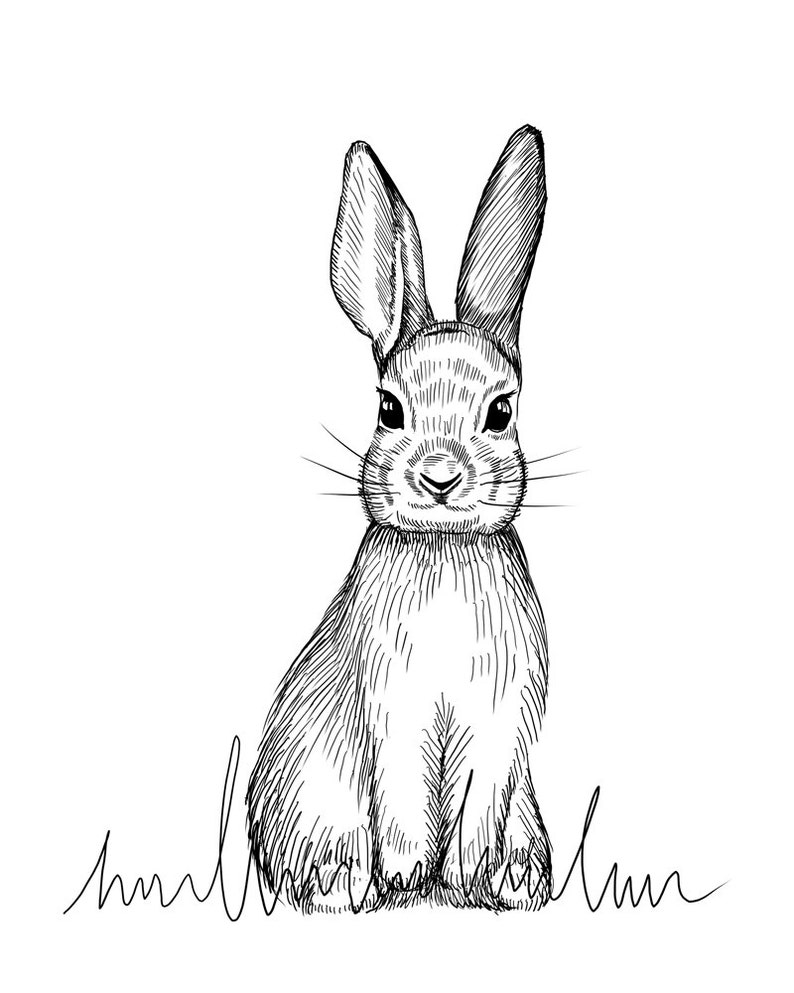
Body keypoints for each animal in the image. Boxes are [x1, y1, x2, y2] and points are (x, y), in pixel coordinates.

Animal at [247, 125, 552, 913]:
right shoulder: (392, 711)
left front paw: (473, 879)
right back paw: (339, 885)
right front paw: (410, 878)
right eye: (389, 408)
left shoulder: (499, 724)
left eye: (500, 411)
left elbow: (479, 807)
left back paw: (516, 881)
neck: (441, 547)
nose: (440, 478)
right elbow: (406, 802)